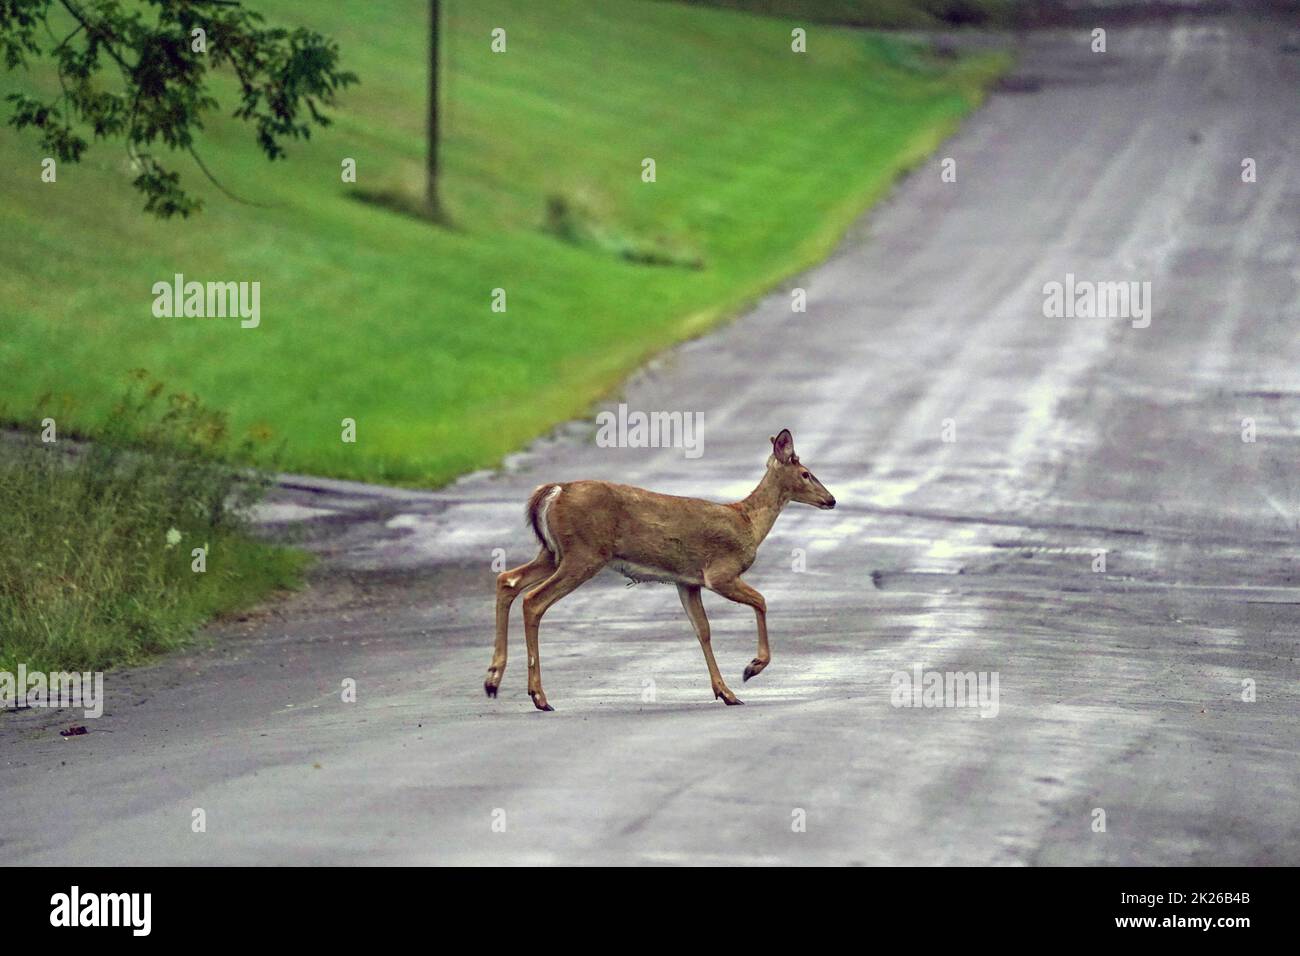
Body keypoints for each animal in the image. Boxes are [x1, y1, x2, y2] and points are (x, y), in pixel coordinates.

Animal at [484, 429, 836, 711]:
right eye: (806, 473)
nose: (831, 499)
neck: (748, 523)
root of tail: (555, 490)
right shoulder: (720, 572)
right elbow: (761, 601)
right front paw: (752, 668)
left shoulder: (687, 582)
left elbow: (703, 630)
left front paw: (725, 692)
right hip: (582, 555)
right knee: (533, 600)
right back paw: (538, 696)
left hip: (553, 553)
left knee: (507, 580)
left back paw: (492, 680)